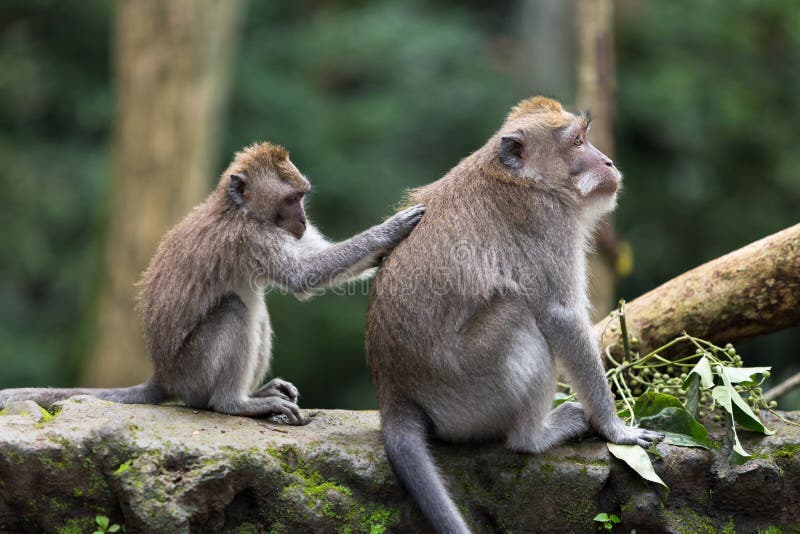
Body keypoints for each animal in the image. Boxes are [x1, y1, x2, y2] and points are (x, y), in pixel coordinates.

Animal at [0, 141, 425, 424]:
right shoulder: (251, 238)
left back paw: (257, 391)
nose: (303, 220)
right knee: (236, 311)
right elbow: (305, 275)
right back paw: (235, 403)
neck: (236, 210)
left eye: (302, 197)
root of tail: (162, 375)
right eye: (291, 200)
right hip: (193, 372)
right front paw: (390, 230)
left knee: (256, 311)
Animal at [365, 97, 662, 532]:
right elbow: (560, 317)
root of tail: (394, 394)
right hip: (468, 396)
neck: (526, 180)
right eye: (577, 142)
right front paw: (616, 430)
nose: (607, 162)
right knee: (518, 315)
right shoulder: (548, 223)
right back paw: (536, 435)